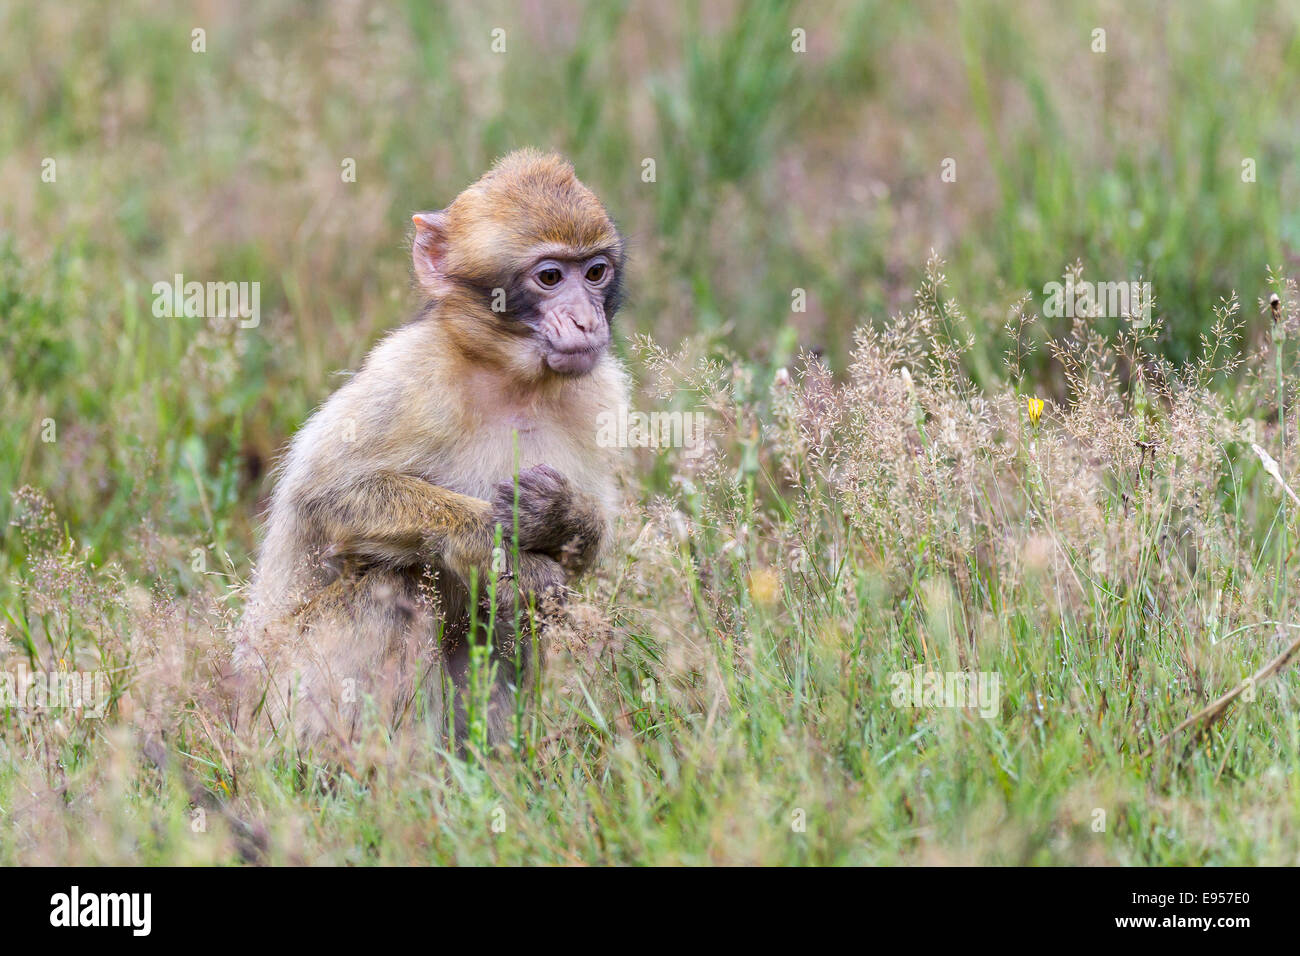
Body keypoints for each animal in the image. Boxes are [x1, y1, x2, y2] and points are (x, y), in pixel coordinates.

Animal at [232, 149, 628, 753]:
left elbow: (592, 544)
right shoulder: (413, 374)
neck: (512, 381)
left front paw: (559, 515)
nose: (587, 320)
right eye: (550, 277)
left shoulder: (603, 392)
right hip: (278, 709)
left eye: (595, 271)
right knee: (393, 586)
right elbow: (325, 496)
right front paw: (498, 542)